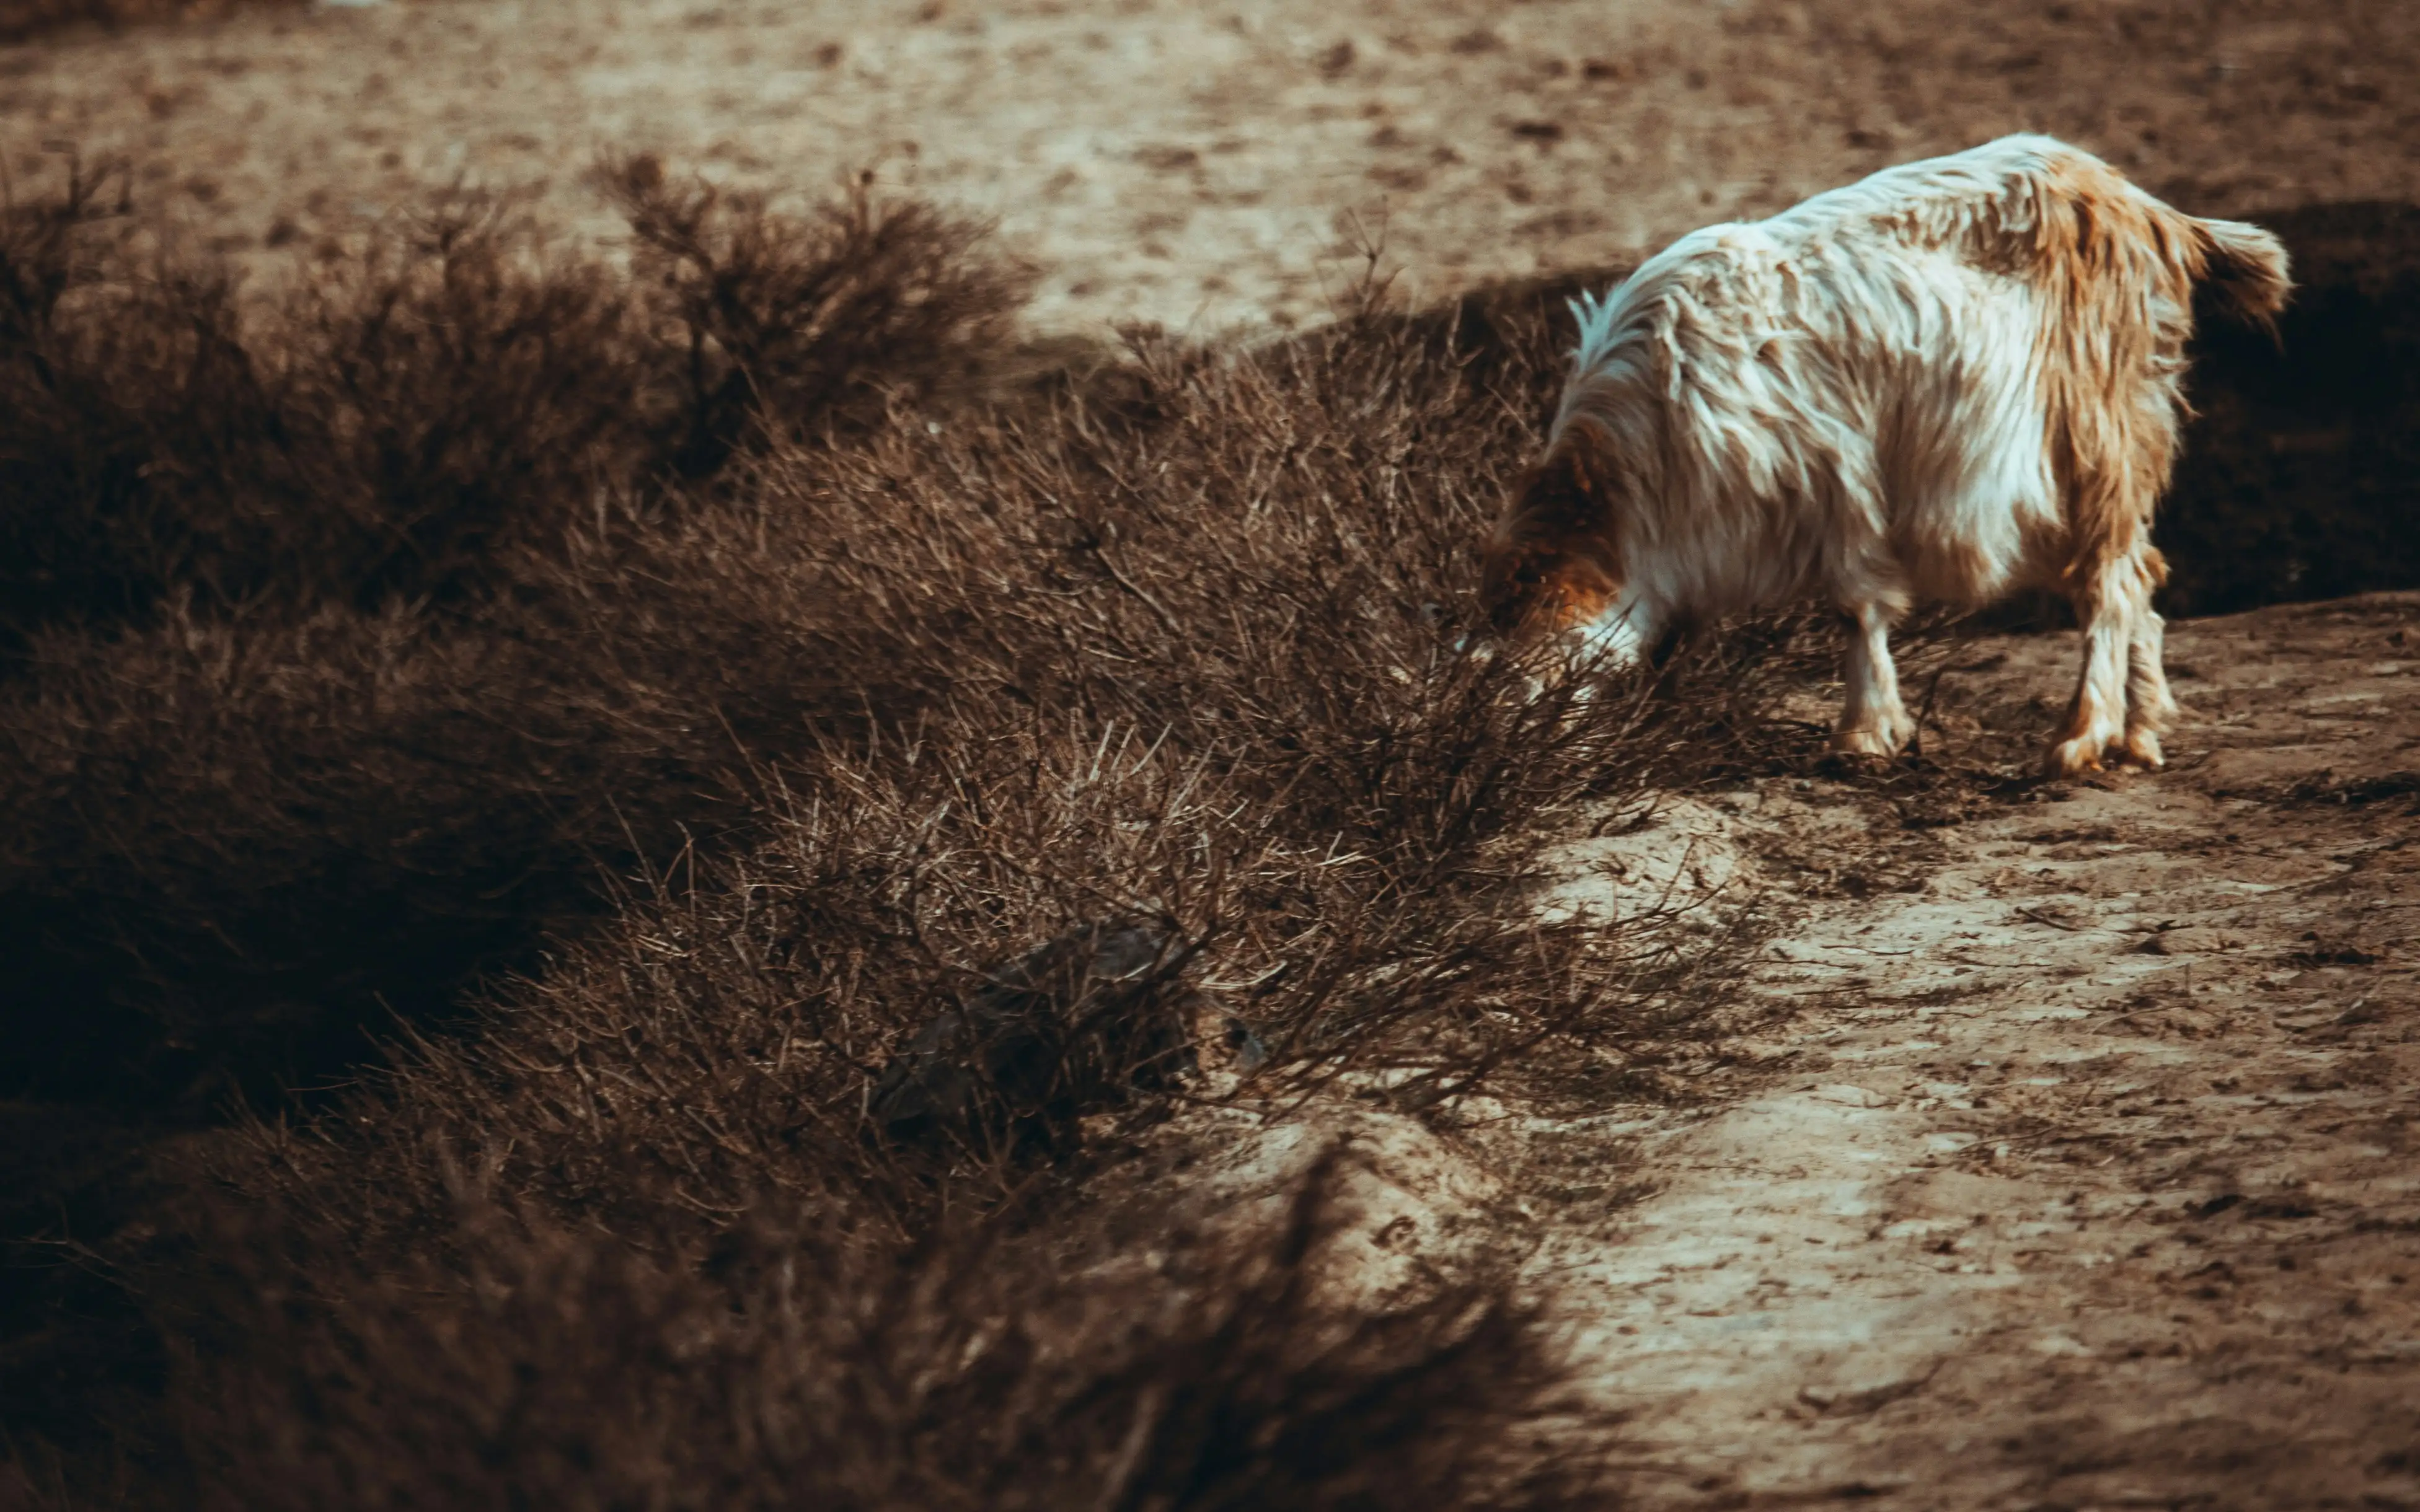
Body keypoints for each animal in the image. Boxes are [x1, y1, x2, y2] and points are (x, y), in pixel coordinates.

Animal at [1481, 134, 2294, 774]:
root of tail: (2147, 211)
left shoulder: (1834, 482)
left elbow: (1858, 606)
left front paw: (1863, 735)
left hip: (2094, 433)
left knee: (2110, 585)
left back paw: (2079, 738)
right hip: (2130, 431)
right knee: (2142, 574)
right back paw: (2140, 735)